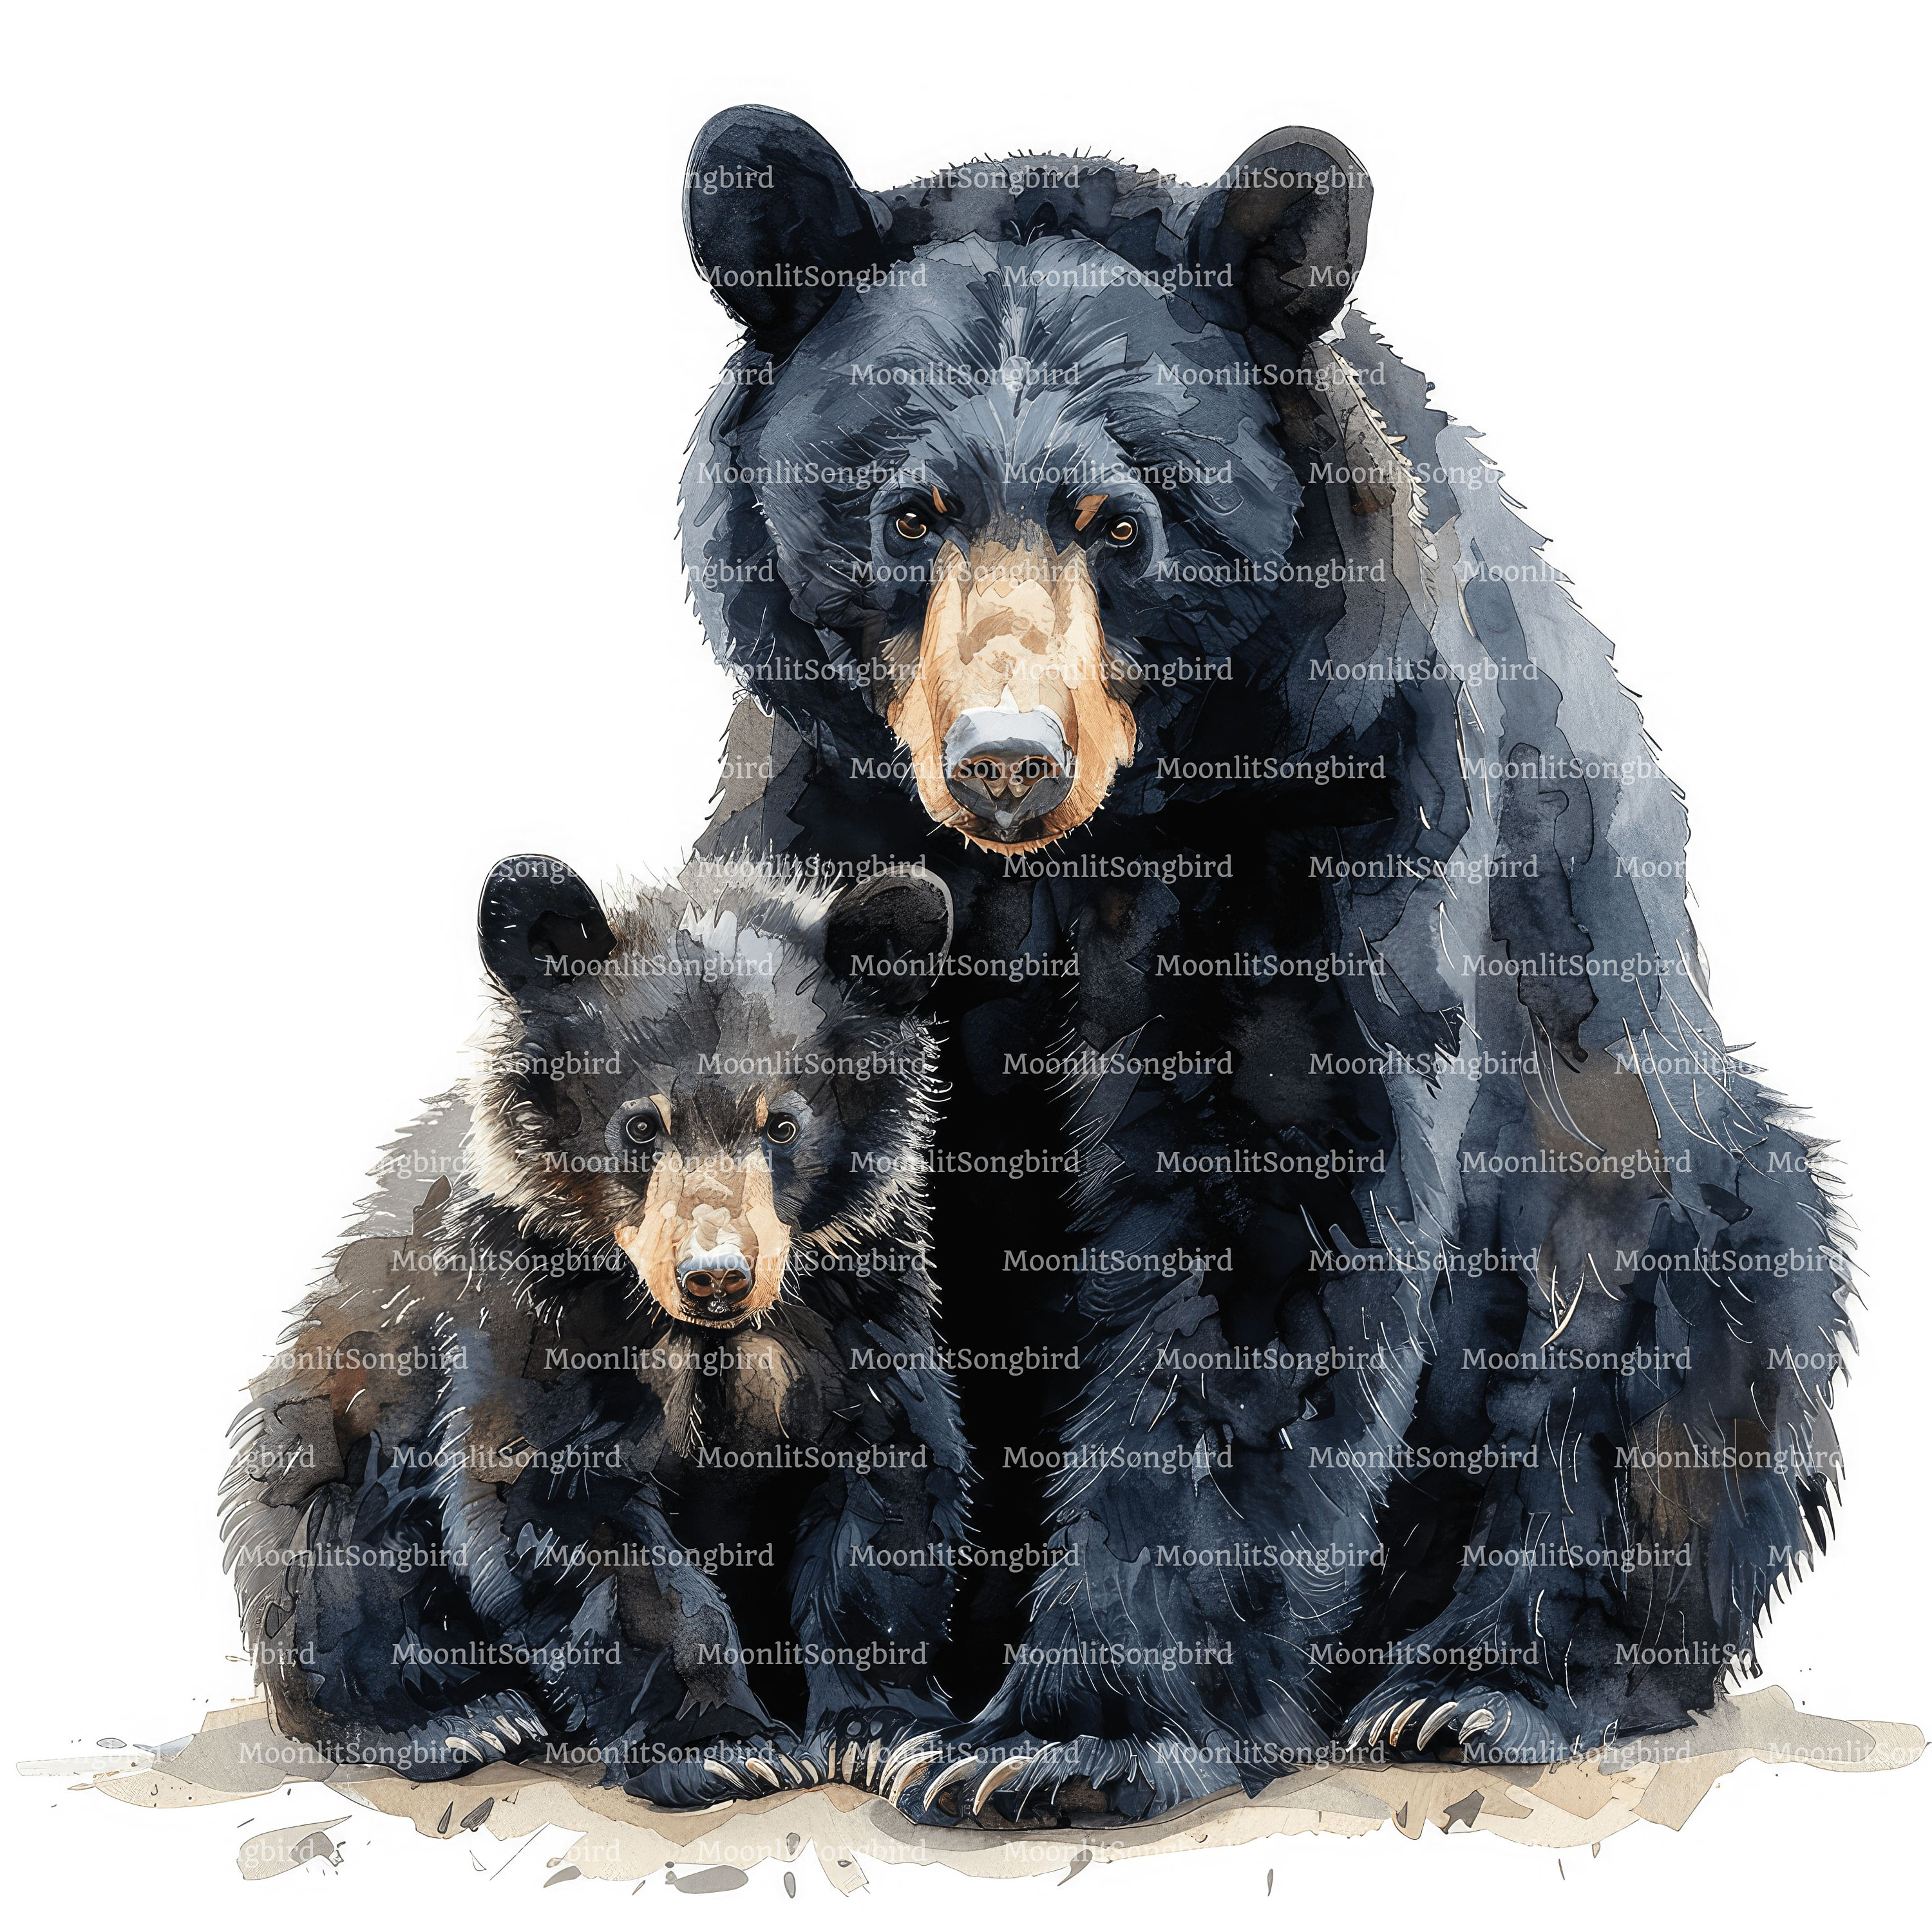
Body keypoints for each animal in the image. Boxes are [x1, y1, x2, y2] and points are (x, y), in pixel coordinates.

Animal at [222, 853, 970, 1806]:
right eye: (642, 1124)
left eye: (783, 1124)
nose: (716, 1277)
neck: (699, 1335)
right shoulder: (526, 1298)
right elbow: (564, 1502)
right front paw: (722, 1746)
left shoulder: (856, 1299)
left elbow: (885, 1481)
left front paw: (883, 1731)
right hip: (329, 1437)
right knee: (337, 1562)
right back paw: (456, 1719)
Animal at [668, 107, 1855, 1823]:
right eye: (909, 515)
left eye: (1118, 519)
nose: (1005, 761)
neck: (1072, 860)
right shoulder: (831, 800)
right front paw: (879, 1697)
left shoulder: (1344, 777)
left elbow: (1269, 1180)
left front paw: (1057, 1734)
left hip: (1679, 1180)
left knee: (1657, 1358)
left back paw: (1478, 1684)